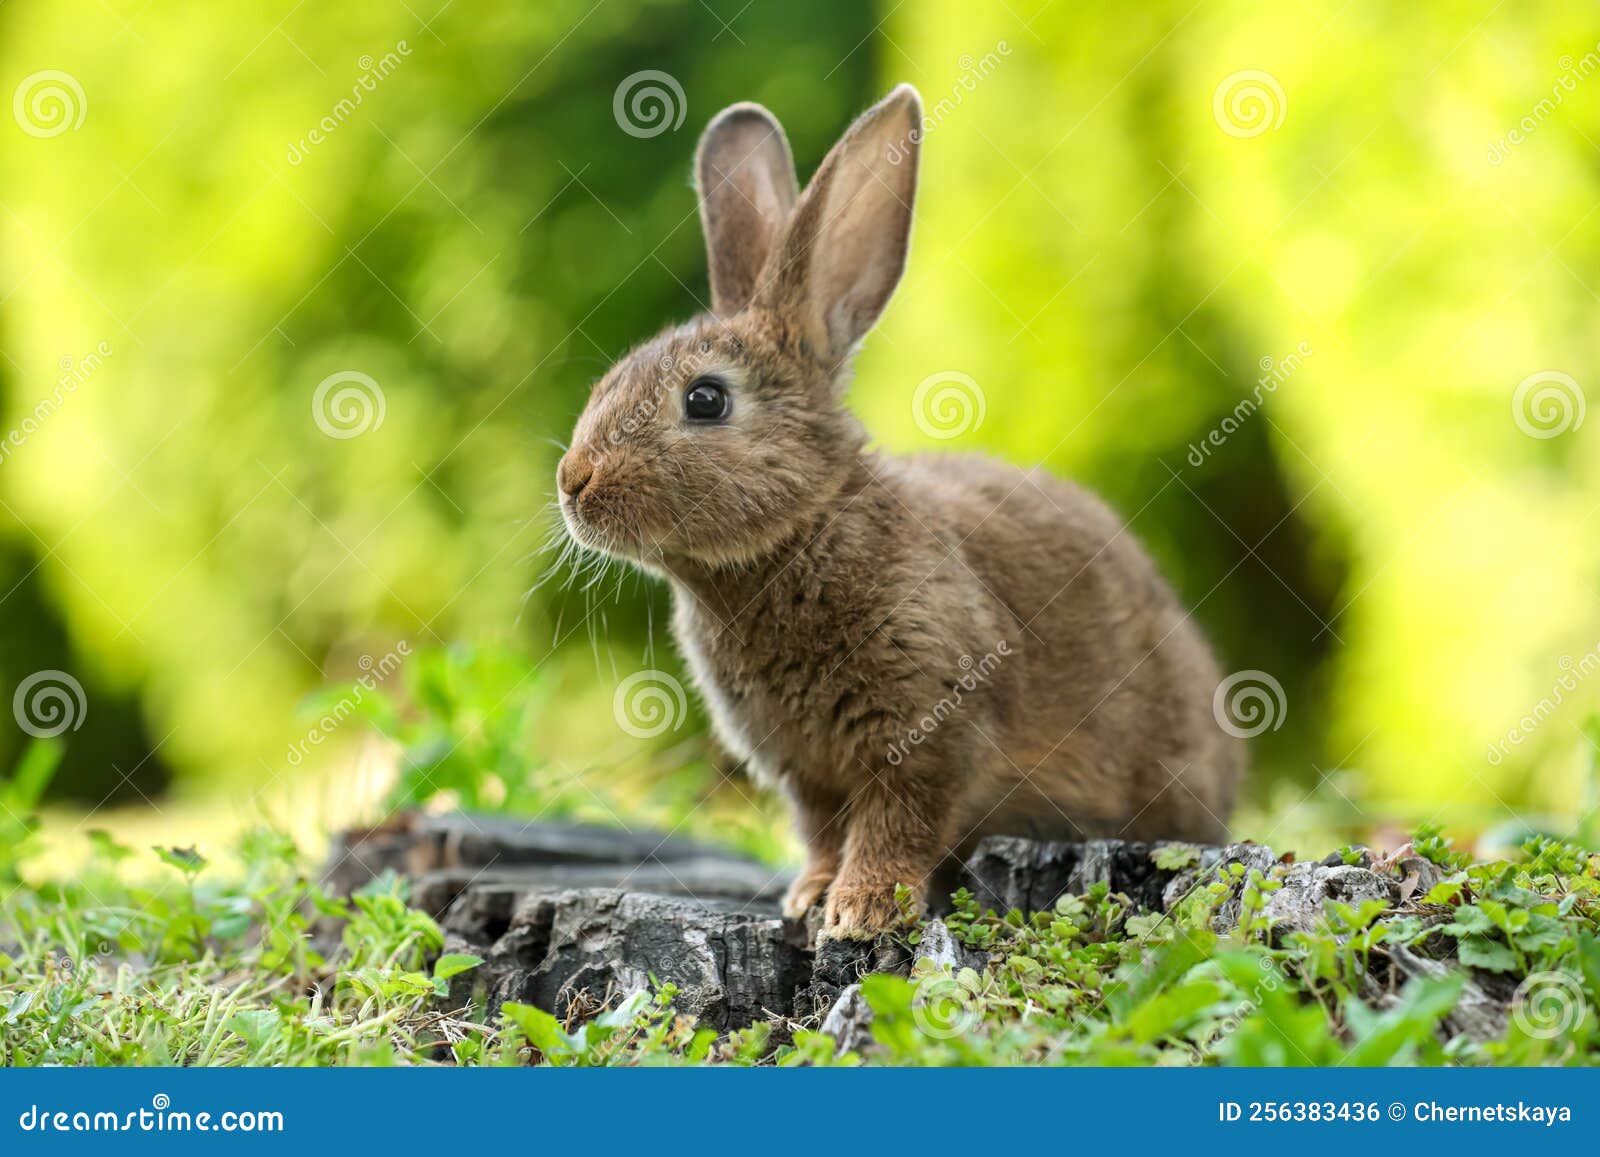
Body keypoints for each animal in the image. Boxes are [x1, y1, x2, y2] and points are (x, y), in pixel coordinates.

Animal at [556, 84, 1242, 938]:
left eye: (705, 399)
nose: (572, 481)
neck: (803, 533)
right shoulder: (804, 769)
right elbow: (822, 828)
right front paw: (809, 895)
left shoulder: (930, 727)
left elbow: (899, 818)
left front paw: (862, 909)